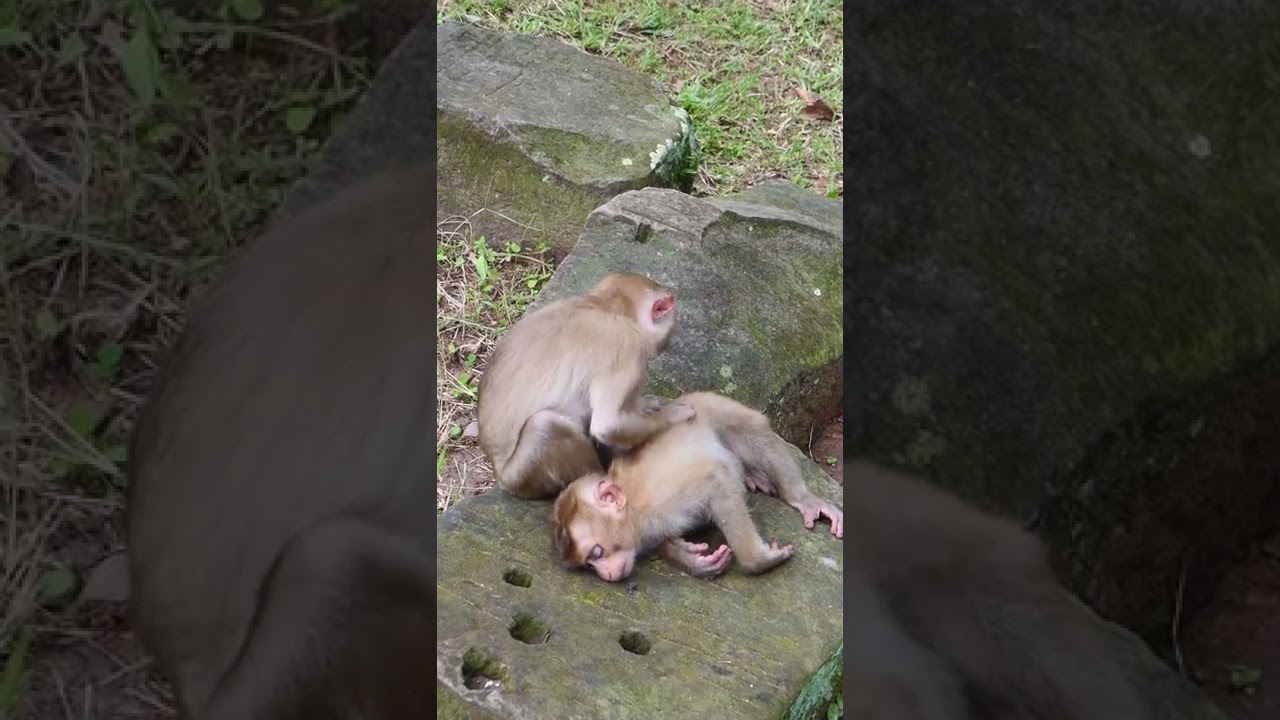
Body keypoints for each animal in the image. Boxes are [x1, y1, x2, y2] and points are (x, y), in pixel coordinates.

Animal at [476, 271, 695, 500]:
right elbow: (608, 424)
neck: (605, 306)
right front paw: (674, 416)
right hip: (524, 475)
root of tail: (500, 476)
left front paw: (644, 405)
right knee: (545, 424)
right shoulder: (628, 347)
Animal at [549, 391, 844, 583]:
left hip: (709, 406)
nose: (606, 574)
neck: (634, 510)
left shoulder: (663, 500)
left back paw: (802, 497)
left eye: (597, 553)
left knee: (751, 430)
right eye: (589, 565)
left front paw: (758, 560)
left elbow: (718, 483)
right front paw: (690, 558)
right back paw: (752, 475)